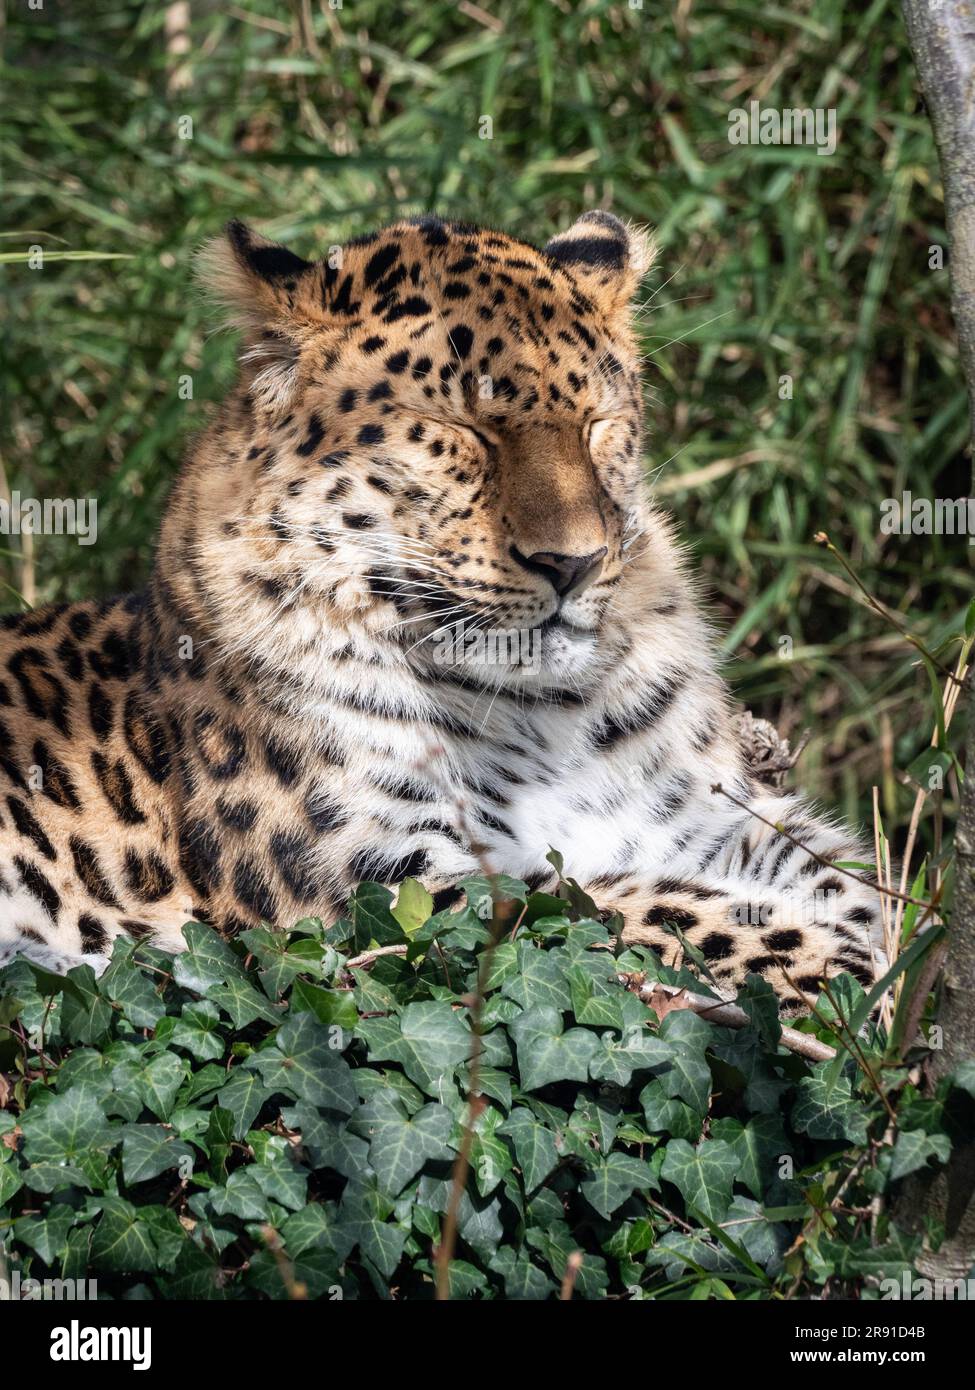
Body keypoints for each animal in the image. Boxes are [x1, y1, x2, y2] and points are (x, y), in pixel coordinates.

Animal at [0, 210, 887, 1014]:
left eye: (597, 426)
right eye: (461, 431)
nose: (572, 563)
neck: (552, 708)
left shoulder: (700, 810)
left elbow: (837, 876)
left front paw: (876, 953)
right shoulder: (389, 886)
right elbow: (619, 908)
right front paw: (839, 976)